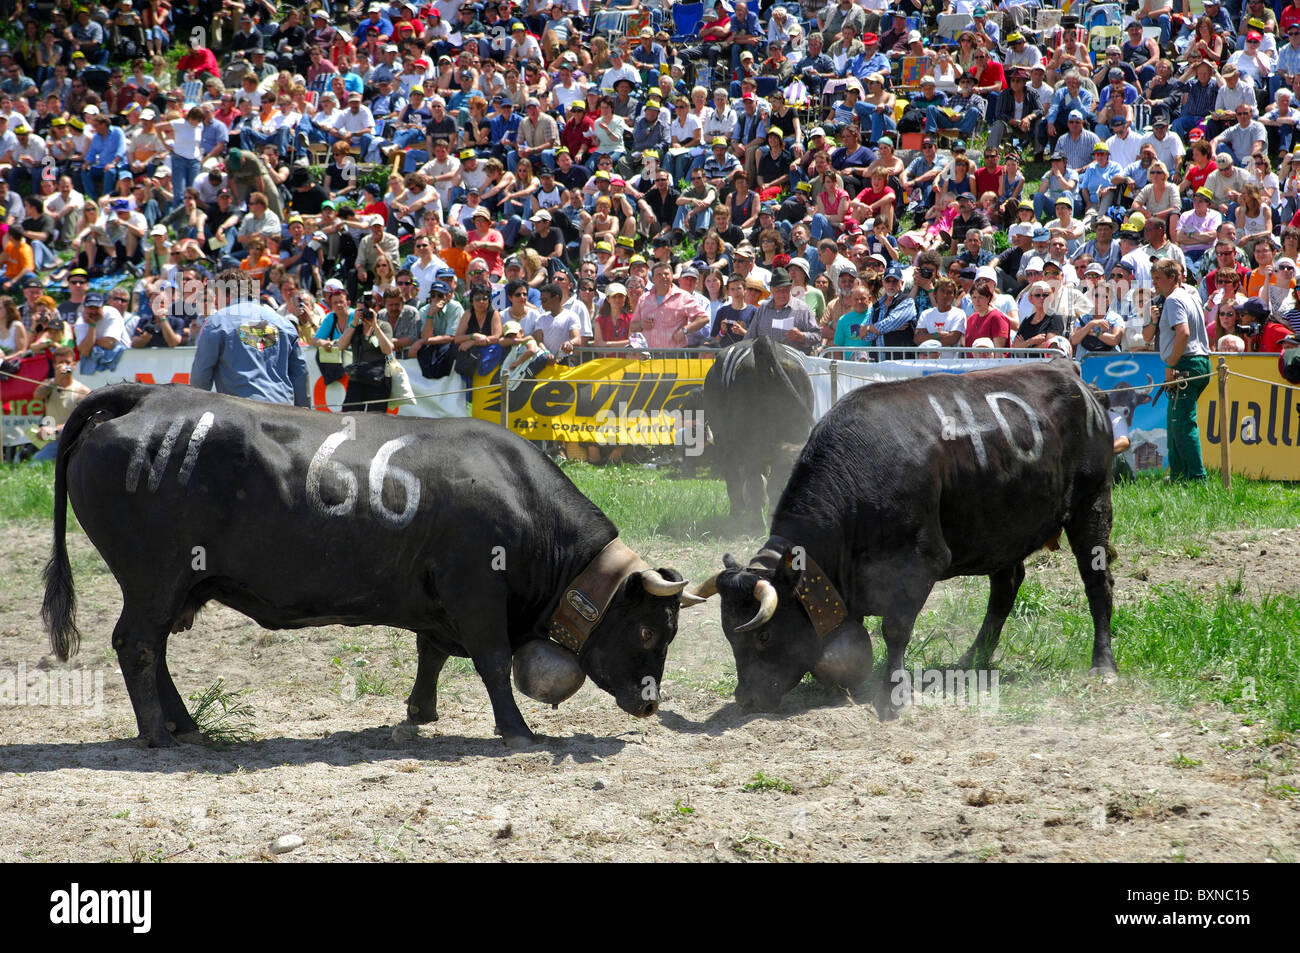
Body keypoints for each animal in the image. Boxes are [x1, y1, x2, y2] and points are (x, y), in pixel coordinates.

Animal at [42, 384, 693, 749]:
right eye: (648, 631)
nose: (650, 703)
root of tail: (147, 396)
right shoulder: (476, 591)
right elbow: (492, 662)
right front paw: (516, 731)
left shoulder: (441, 602)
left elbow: (432, 653)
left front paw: (420, 711)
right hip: (155, 577)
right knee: (137, 645)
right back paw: (159, 735)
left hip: (175, 584)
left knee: (153, 651)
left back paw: (183, 725)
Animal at [689, 361, 1117, 717]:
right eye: (729, 636)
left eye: (763, 635)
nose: (747, 698)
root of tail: (1077, 379)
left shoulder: (921, 560)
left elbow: (894, 629)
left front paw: (893, 693)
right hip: (1003, 529)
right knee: (1005, 587)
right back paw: (972, 658)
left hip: (1092, 504)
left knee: (1097, 584)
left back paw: (1103, 664)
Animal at [703, 337, 815, 531]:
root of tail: (763, 343)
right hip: (794, 436)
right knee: (776, 482)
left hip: (747, 443)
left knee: (752, 480)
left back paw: (755, 523)